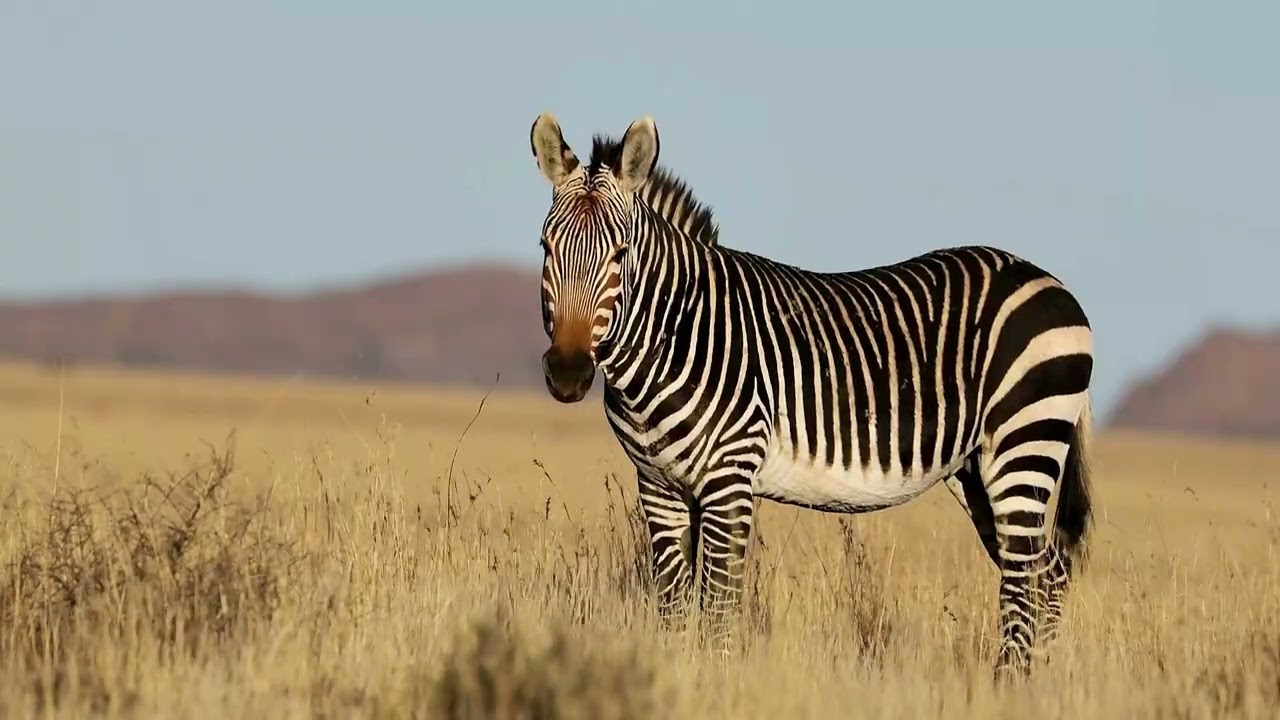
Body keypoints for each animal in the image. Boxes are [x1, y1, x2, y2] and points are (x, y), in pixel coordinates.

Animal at [528, 112, 1096, 677]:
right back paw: (1040, 681)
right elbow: (673, 609)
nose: (568, 373)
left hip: (1024, 442)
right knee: (1046, 572)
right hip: (976, 468)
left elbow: (718, 610)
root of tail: (1050, 281)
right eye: (546, 247)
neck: (678, 336)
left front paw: (718, 679)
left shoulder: (729, 479)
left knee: (1026, 581)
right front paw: (674, 675)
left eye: (620, 254)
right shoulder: (658, 486)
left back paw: (1011, 683)